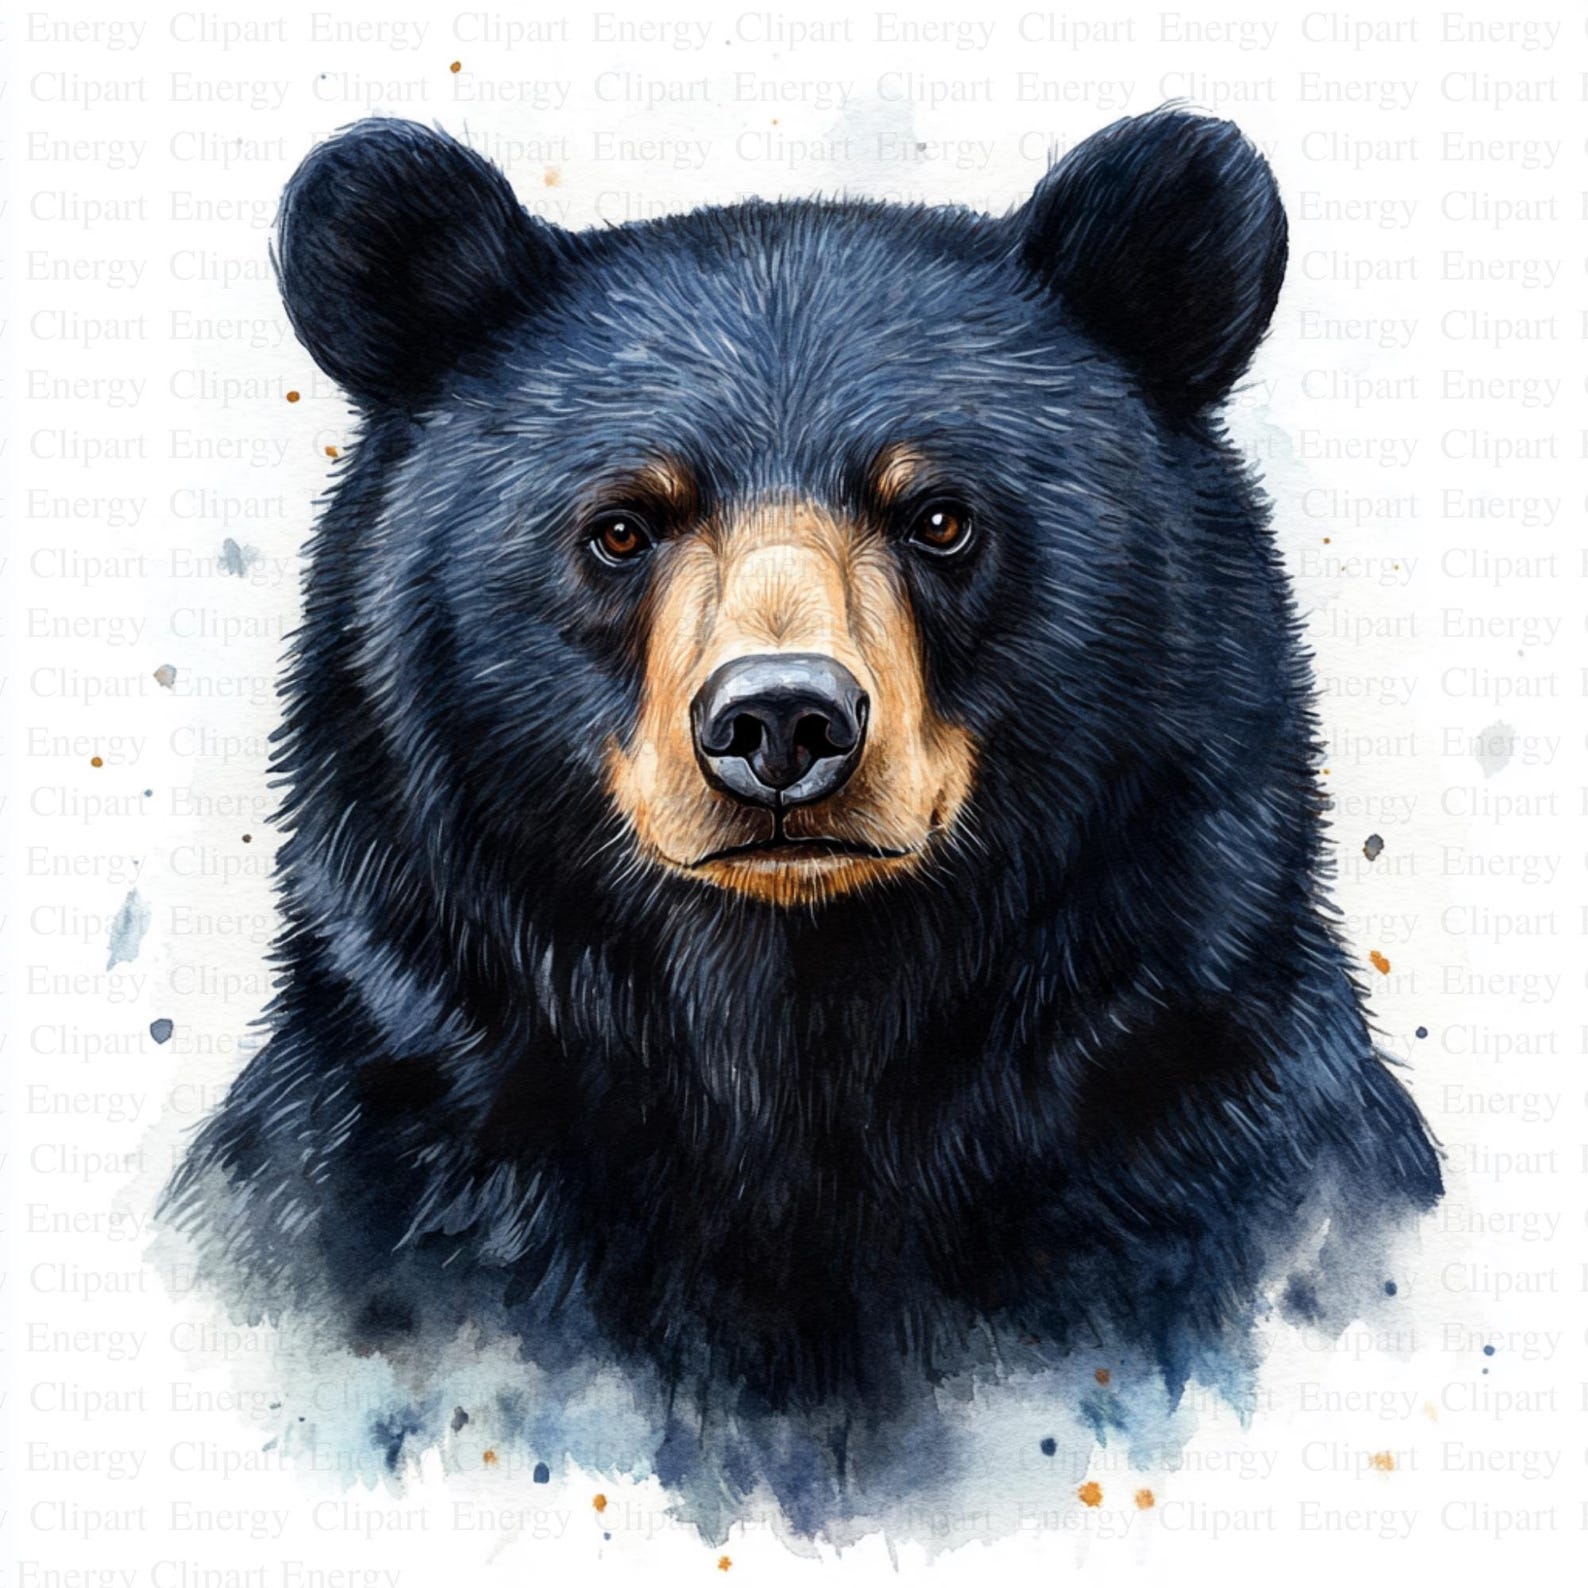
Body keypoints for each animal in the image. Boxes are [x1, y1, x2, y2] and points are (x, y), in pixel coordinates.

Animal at [162, 109, 1441, 1536]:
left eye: (939, 515)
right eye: (621, 525)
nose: (781, 721)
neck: (787, 1048)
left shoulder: (1197, 1135)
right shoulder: (409, 1160)